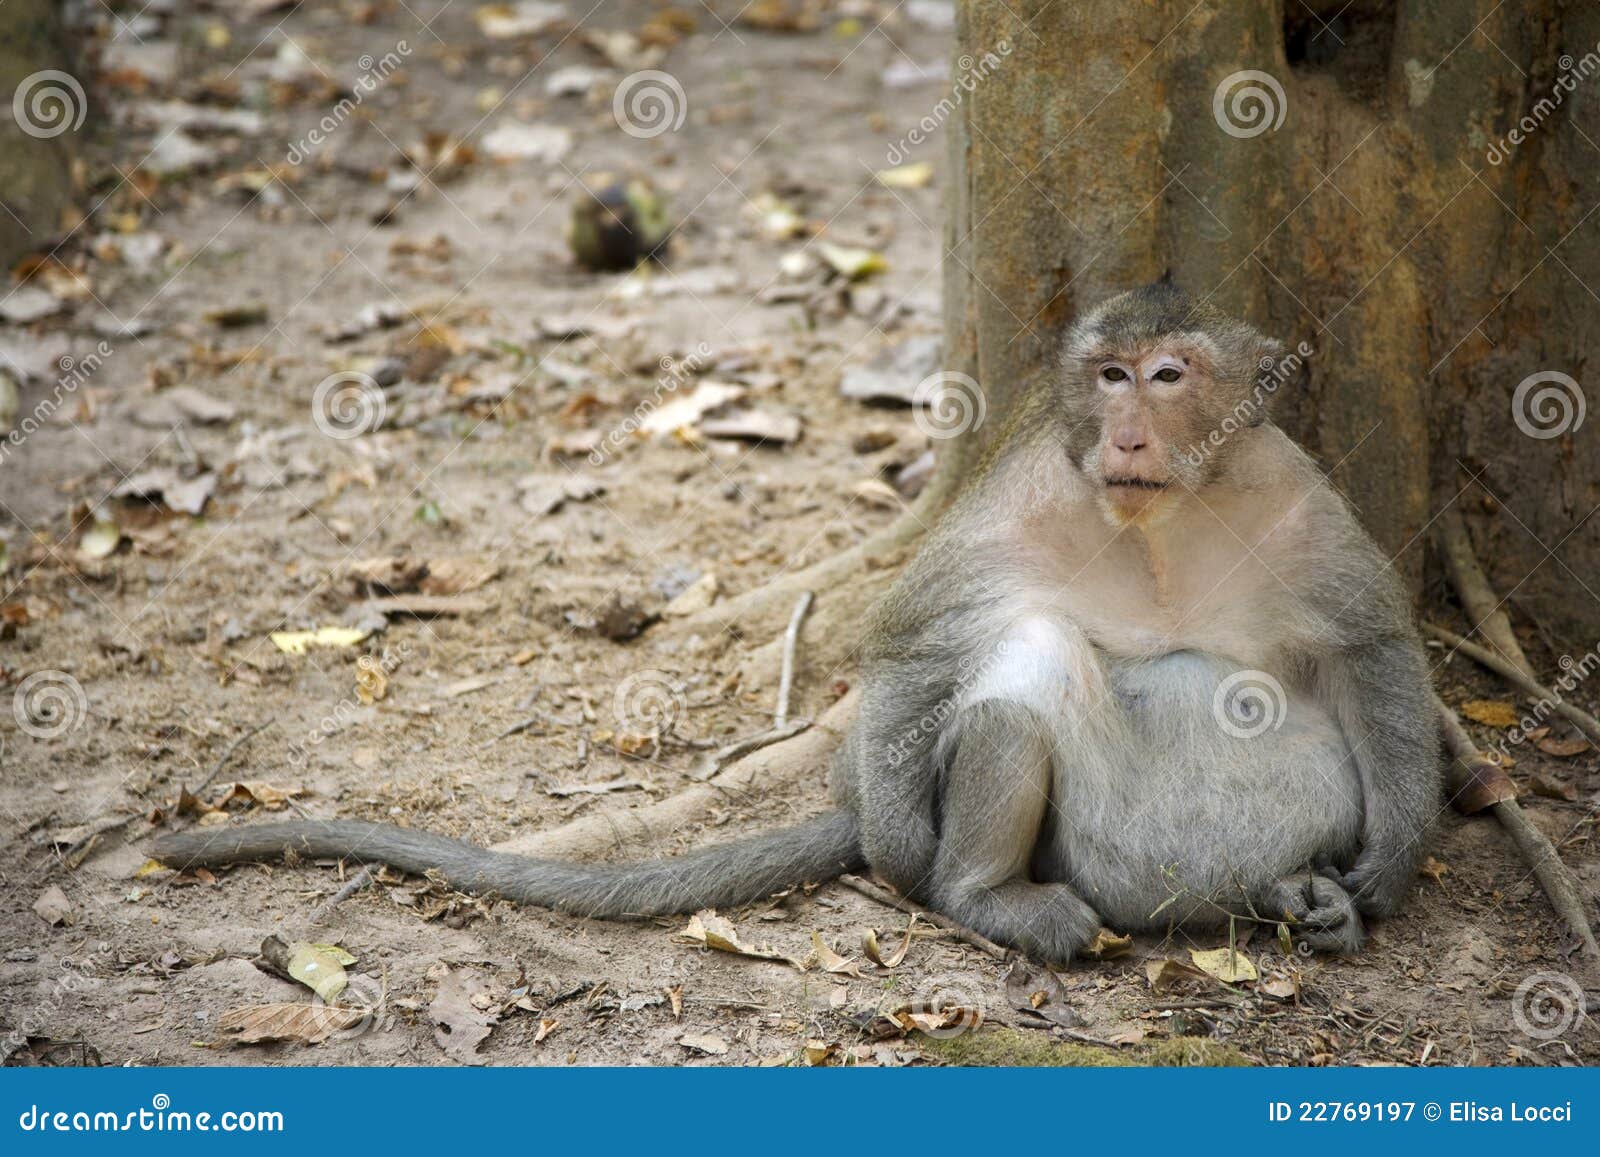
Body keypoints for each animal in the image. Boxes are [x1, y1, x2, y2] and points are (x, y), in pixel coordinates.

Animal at [153, 281, 1442, 965]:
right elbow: (914, 641)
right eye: (1109, 373)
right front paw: (907, 854)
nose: (1125, 429)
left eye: (1168, 375)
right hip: (1099, 853)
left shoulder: (1295, 493)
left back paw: (1305, 896)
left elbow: (1372, 650)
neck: (1161, 515)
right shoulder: (1027, 493)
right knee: (1024, 662)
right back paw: (986, 891)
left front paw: (1384, 868)